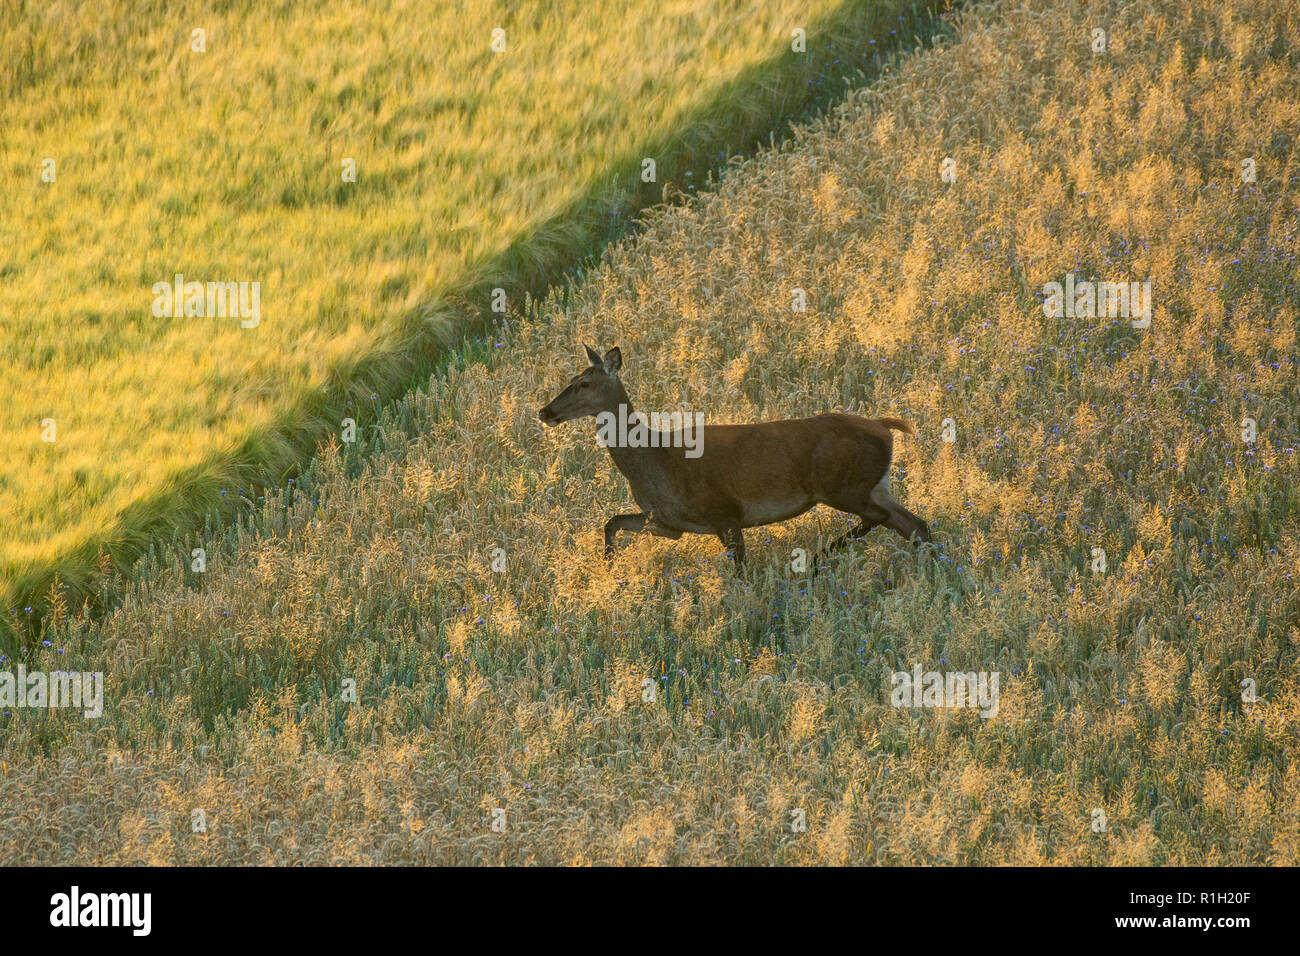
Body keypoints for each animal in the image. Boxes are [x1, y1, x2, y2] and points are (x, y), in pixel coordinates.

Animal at [537, 345, 931, 569]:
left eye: (584, 383)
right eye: (571, 379)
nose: (545, 411)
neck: (655, 461)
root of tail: (884, 427)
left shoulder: (724, 513)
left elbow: (742, 573)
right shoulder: (669, 523)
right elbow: (612, 521)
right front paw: (607, 566)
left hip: (842, 486)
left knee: (883, 519)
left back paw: (820, 558)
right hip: (873, 485)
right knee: (915, 525)